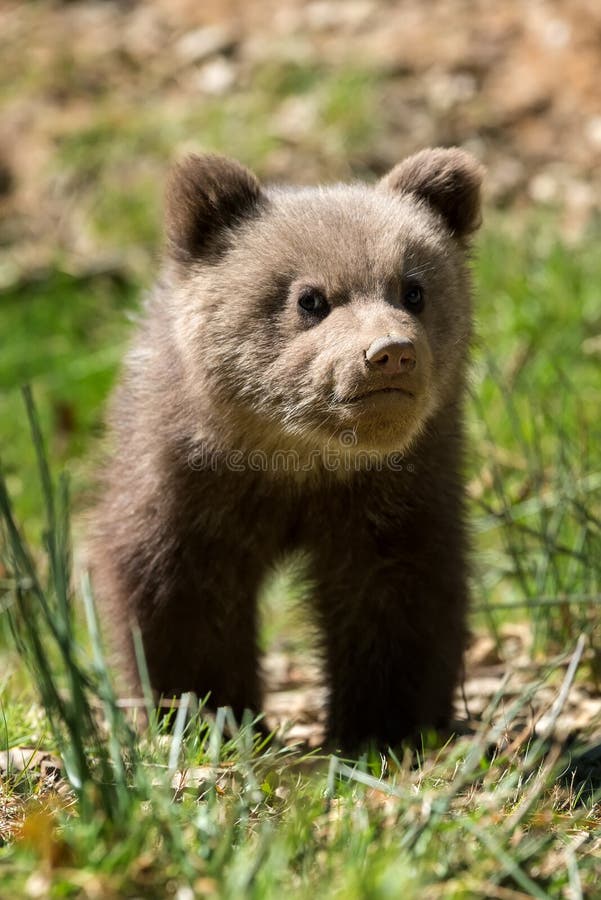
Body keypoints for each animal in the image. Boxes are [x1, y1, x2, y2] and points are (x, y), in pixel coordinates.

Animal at [89, 147, 484, 752]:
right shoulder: (189, 488)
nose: (390, 354)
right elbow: (179, 599)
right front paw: (205, 713)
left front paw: (383, 726)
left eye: (413, 289)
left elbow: (399, 596)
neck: (298, 457)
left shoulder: (395, 492)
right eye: (310, 298)